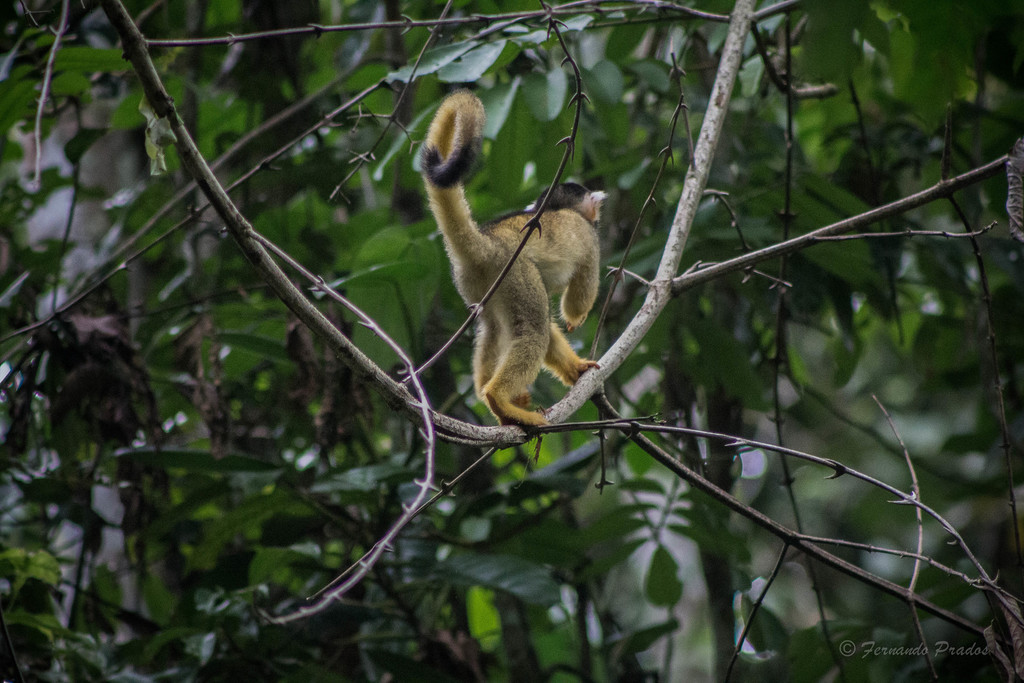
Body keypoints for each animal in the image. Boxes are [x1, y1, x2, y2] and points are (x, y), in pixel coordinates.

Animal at [420, 90, 604, 427]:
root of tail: (488, 241)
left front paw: (576, 369)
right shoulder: (589, 237)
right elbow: (583, 285)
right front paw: (576, 318)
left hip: (477, 284)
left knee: (493, 328)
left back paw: (492, 397)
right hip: (516, 270)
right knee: (534, 329)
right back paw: (499, 398)